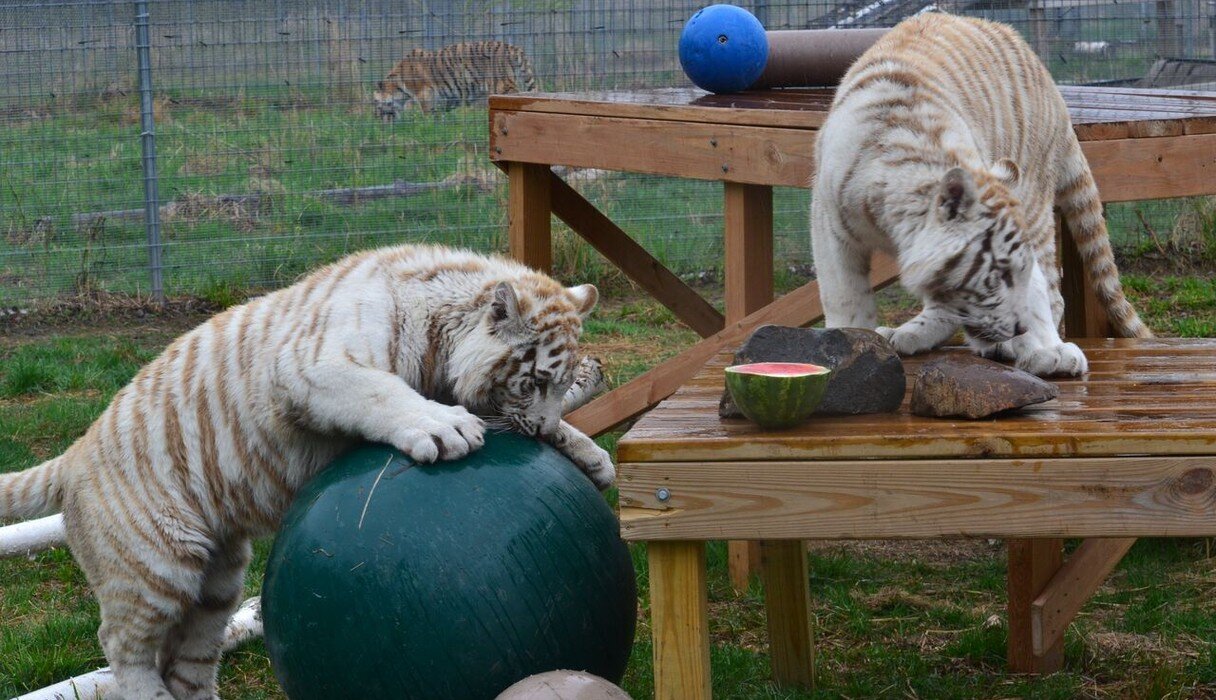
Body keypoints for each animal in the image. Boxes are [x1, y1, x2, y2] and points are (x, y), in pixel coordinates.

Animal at [0, 244, 612, 700]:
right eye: (535, 380)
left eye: (563, 382)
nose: (539, 428)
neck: (440, 332)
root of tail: (72, 456)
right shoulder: (314, 366)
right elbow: (382, 390)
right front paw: (444, 427)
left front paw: (587, 451)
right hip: (158, 564)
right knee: (122, 648)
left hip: (218, 585)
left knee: (185, 663)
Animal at [373, 40, 537, 120]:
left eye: (375, 103)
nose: (376, 118)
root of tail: (513, 47)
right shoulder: (447, 98)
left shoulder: (424, 95)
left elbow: (427, 114)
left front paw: (428, 126)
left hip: (502, 85)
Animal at [810, 13, 1151, 377]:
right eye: (997, 276)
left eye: (1017, 272)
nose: (1020, 329)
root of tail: (1053, 90)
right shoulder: (830, 226)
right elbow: (845, 299)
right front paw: (850, 344)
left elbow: (1037, 292)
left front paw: (1047, 350)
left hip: (1035, 202)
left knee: (1053, 293)